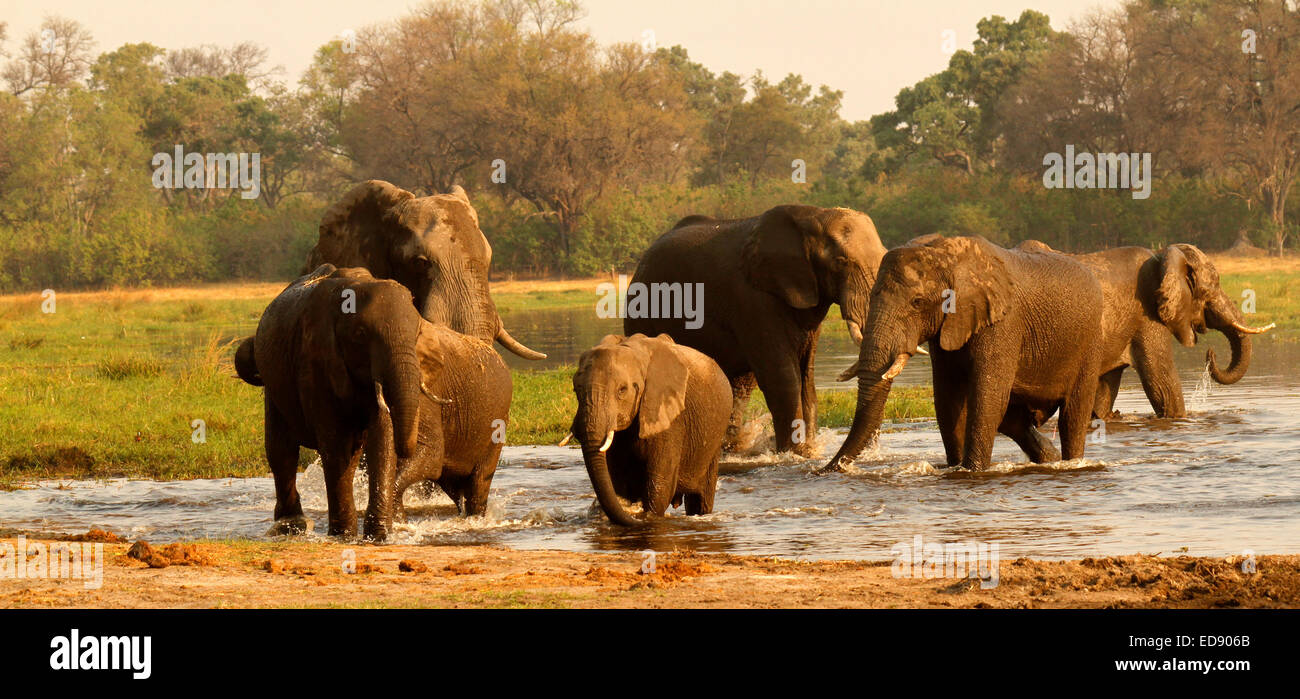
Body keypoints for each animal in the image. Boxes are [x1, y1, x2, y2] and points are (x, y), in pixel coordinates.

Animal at [564, 334, 732, 526]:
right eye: (575, 389)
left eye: (622, 390)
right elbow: (617, 479)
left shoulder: (669, 417)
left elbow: (660, 484)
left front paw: (648, 517)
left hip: (713, 442)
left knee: (701, 499)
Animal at [625, 205, 886, 456]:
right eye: (841, 261)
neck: (813, 215)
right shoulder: (751, 297)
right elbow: (782, 377)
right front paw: (793, 454)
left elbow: (807, 378)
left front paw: (809, 451)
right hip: (642, 312)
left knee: (738, 386)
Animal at [824, 235, 1104, 472]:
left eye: (917, 302)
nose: (825, 470)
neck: (946, 255)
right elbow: (948, 400)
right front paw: (956, 468)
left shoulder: (1002, 324)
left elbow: (987, 398)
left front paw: (973, 470)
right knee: (1013, 419)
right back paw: (1050, 459)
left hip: (1090, 342)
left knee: (1072, 417)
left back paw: (1072, 463)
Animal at [1016, 241, 1273, 420]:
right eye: (1211, 289)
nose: (1210, 353)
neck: (1163, 256)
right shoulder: (1146, 314)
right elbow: (1162, 383)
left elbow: (1105, 391)